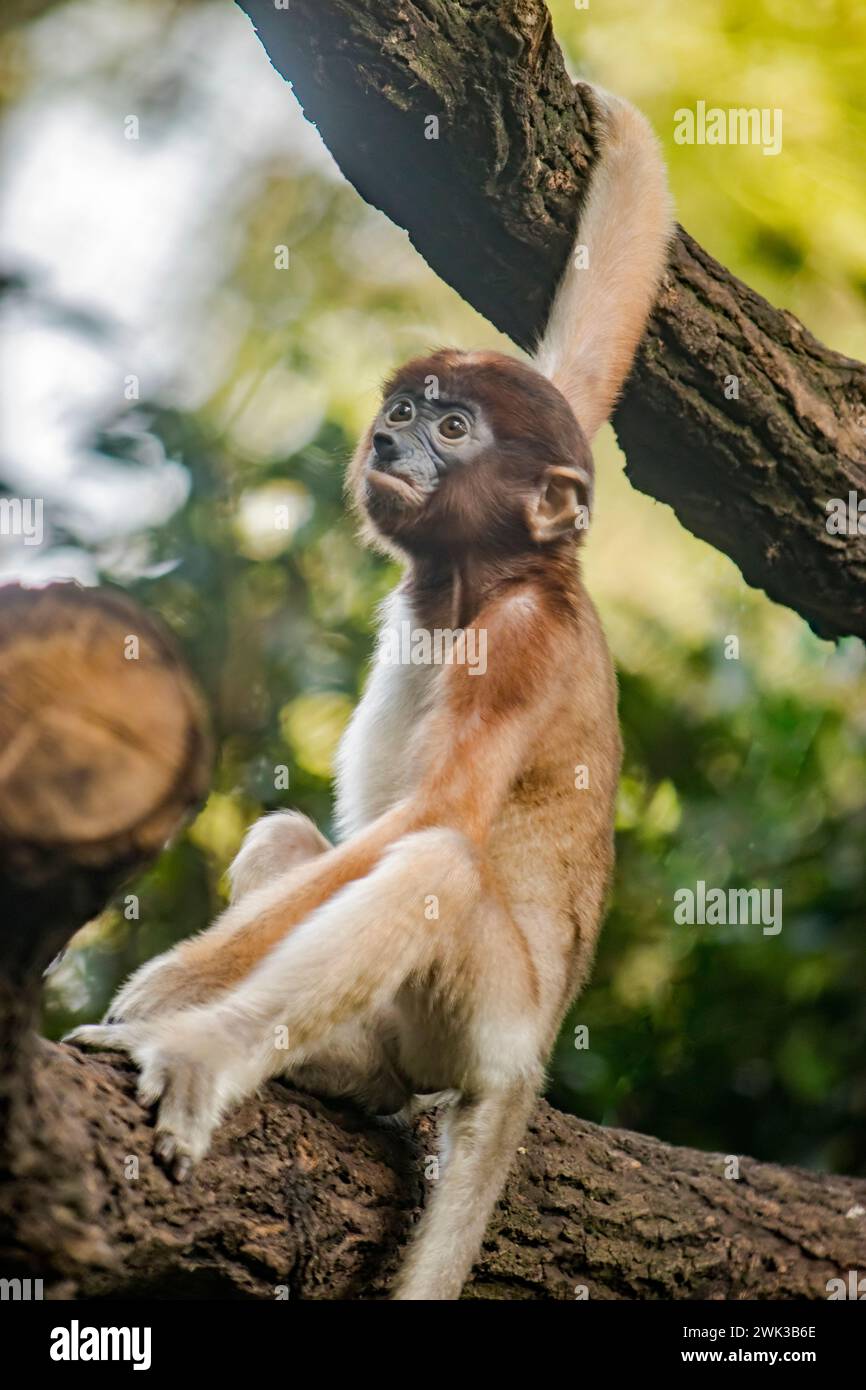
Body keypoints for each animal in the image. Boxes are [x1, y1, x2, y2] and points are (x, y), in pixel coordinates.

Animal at [67, 85, 673, 1301]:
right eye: (408, 409)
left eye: (452, 426)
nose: (391, 435)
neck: (474, 580)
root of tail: (532, 1064)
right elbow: (582, 363)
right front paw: (614, 129)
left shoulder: (521, 642)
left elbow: (436, 819)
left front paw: (153, 998)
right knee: (292, 842)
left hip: (483, 1025)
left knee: (433, 863)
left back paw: (198, 1053)